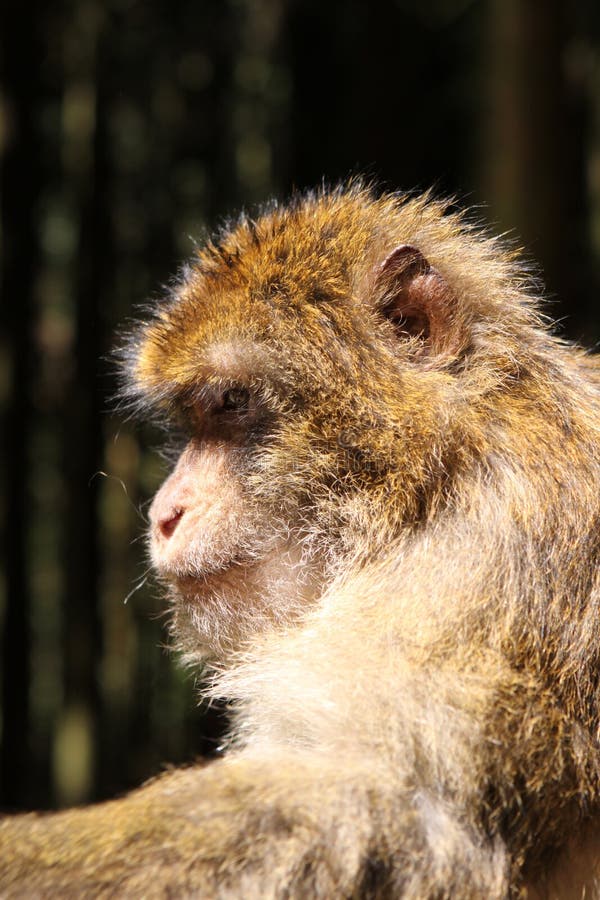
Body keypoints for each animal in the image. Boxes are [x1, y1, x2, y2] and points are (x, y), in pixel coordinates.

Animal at [2, 183, 600, 898]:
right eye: (193, 417)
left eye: (231, 403)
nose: (164, 512)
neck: (435, 477)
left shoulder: (484, 566)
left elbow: (395, 811)